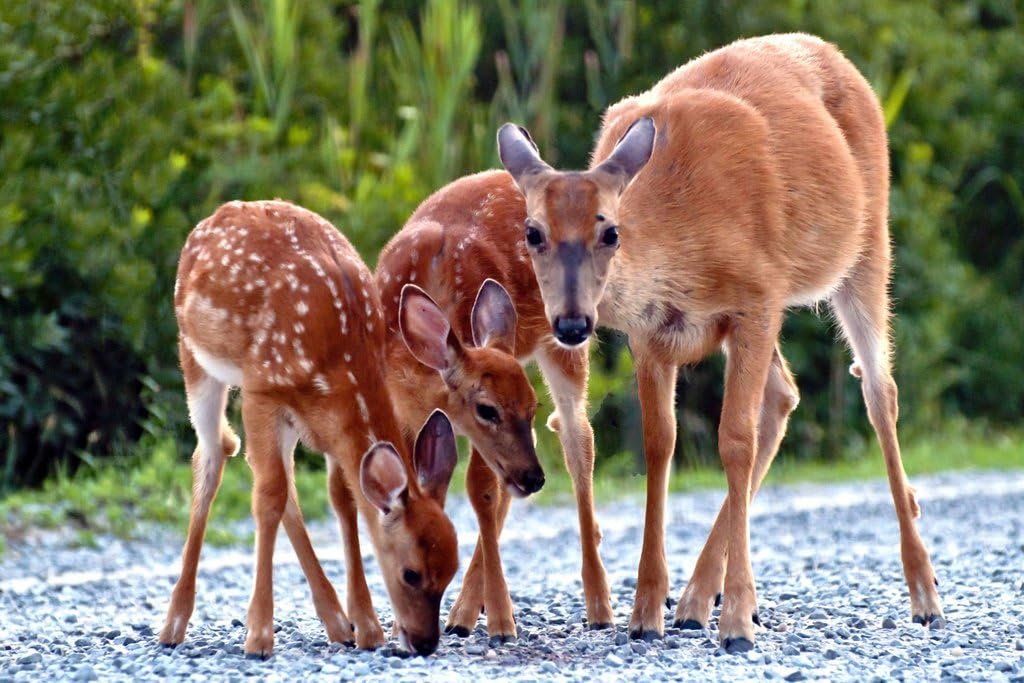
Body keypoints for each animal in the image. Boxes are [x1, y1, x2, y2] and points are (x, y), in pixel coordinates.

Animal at [159, 200, 459, 658]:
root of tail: (212, 218)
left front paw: (366, 626)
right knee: (214, 455)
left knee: (280, 481)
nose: (425, 642)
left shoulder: (329, 423)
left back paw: (337, 622)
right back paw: (174, 624)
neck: (343, 358)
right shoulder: (262, 390)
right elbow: (267, 498)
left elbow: (342, 500)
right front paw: (259, 636)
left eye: (452, 570)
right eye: (411, 573)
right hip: (195, 357)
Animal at [372, 171, 616, 642]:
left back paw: (598, 605)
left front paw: (502, 622)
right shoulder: (403, 409)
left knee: (578, 438)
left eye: (530, 404)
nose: (535, 478)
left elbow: (481, 492)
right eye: (488, 409)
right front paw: (399, 623)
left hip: (566, 338)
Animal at [497, 33, 944, 652]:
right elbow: (660, 444)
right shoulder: (651, 335)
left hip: (868, 244)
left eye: (610, 231)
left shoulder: (757, 299)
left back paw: (925, 596)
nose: (570, 324)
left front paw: (736, 622)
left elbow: (734, 440)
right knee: (784, 395)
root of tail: (833, 53)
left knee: (879, 393)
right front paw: (646, 612)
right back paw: (691, 602)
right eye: (532, 232)